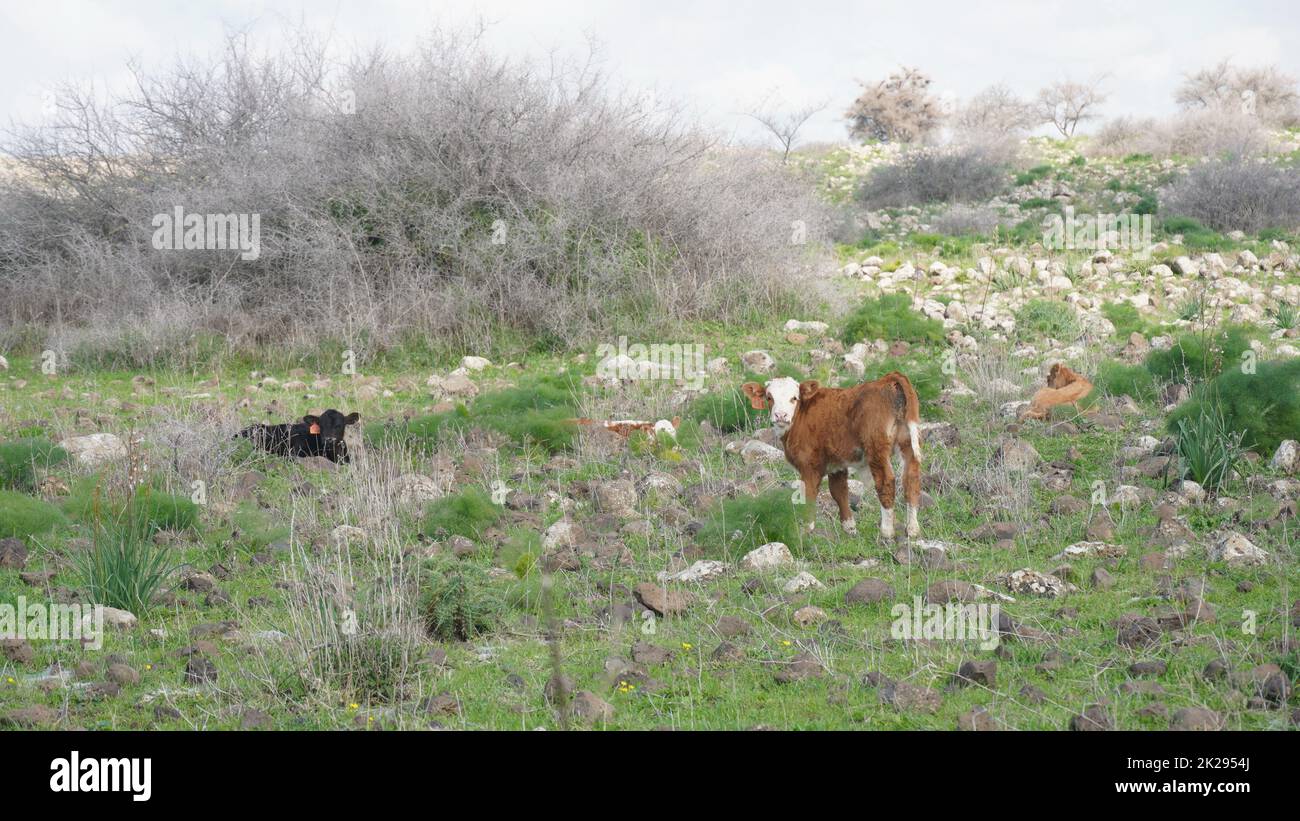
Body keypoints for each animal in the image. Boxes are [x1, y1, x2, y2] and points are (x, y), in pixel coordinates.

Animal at [742, 373, 922, 540]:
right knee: (911, 479)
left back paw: (887, 531)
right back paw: (912, 529)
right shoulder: (837, 463)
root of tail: (888, 379)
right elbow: (839, 491)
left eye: (794, 398)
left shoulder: (809, 464)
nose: (780, 415)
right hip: (907, 443)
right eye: (769, 397)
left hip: (876, 448)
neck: (800, 415)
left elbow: (809, 493)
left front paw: (806, 530)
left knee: (885, 482)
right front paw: (849, 528)